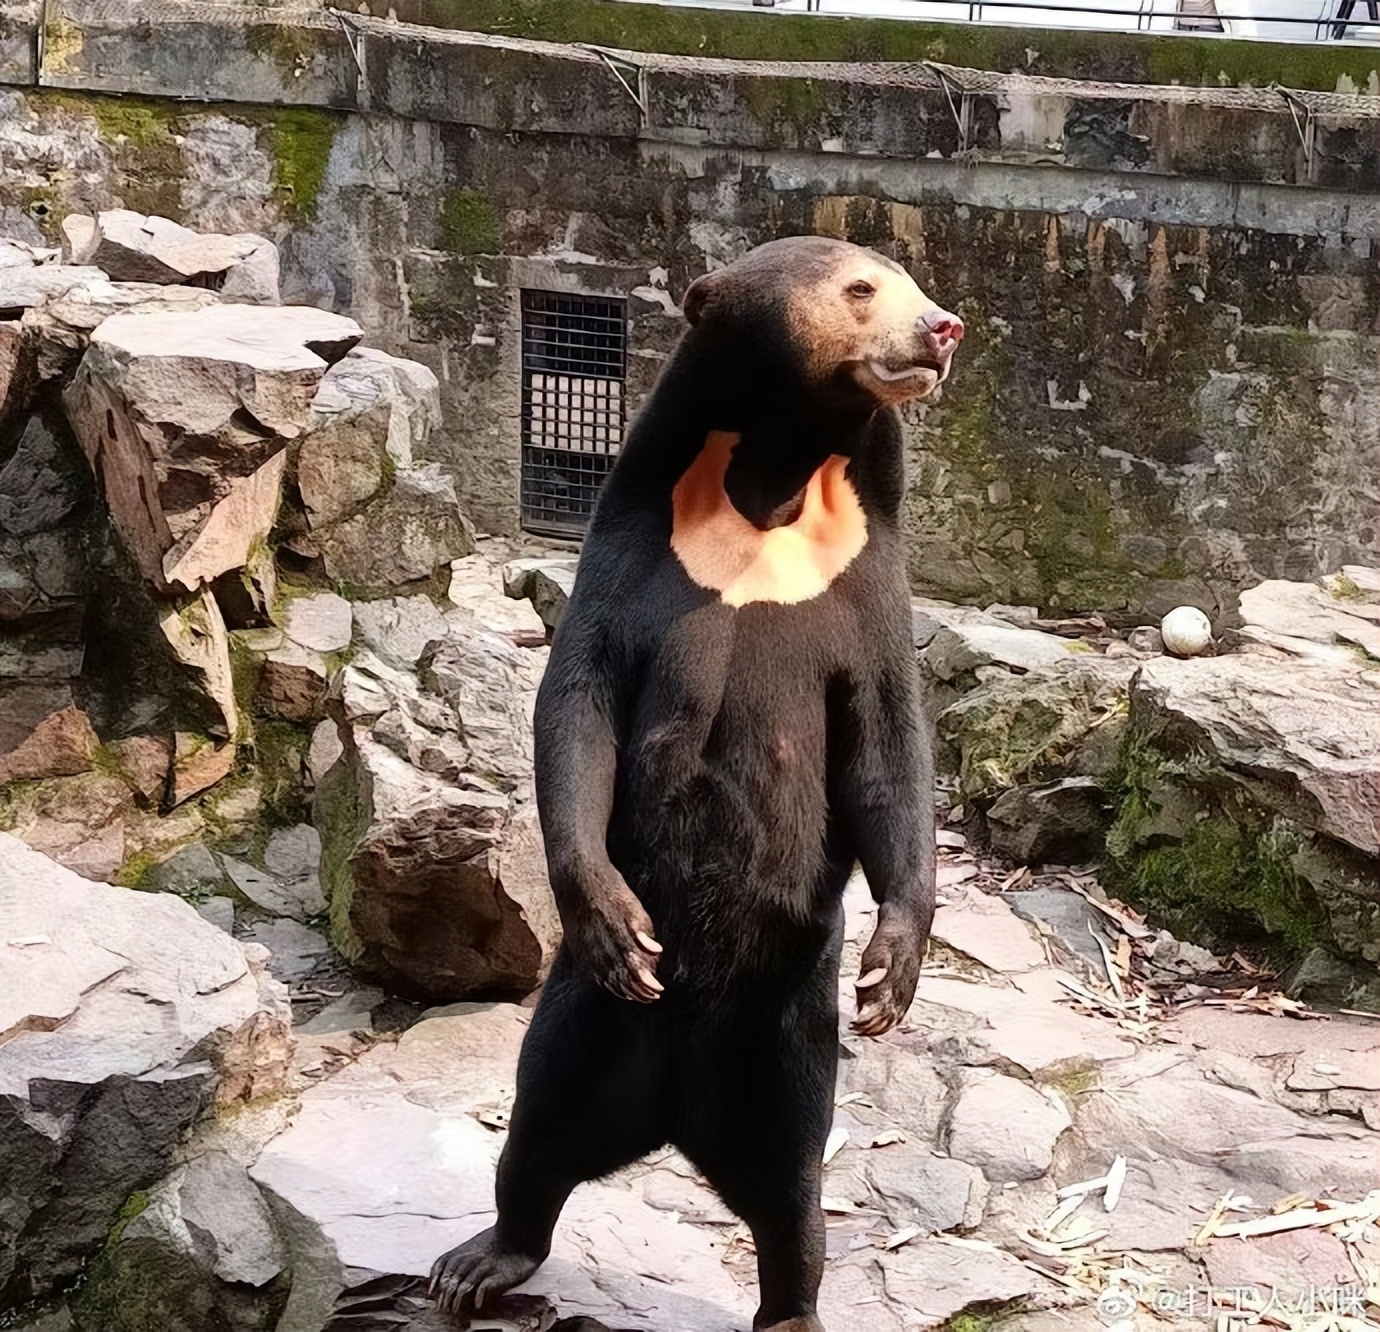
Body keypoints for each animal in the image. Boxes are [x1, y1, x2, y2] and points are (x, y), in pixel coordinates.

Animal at [429, 236, 964, 1330]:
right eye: (863, 288)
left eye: (911, 280)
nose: (945, 328)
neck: (777, 477)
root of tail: (674, 1115)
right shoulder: (638, 548)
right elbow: (578, 703)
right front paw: (612, 915)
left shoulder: (865, 589)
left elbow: (888, 746)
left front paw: (892, 974)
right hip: (585, 1022)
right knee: (539, 1126)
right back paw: (484, 1261)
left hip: (788, 1036)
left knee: (794, 1196)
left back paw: (793, 1307)